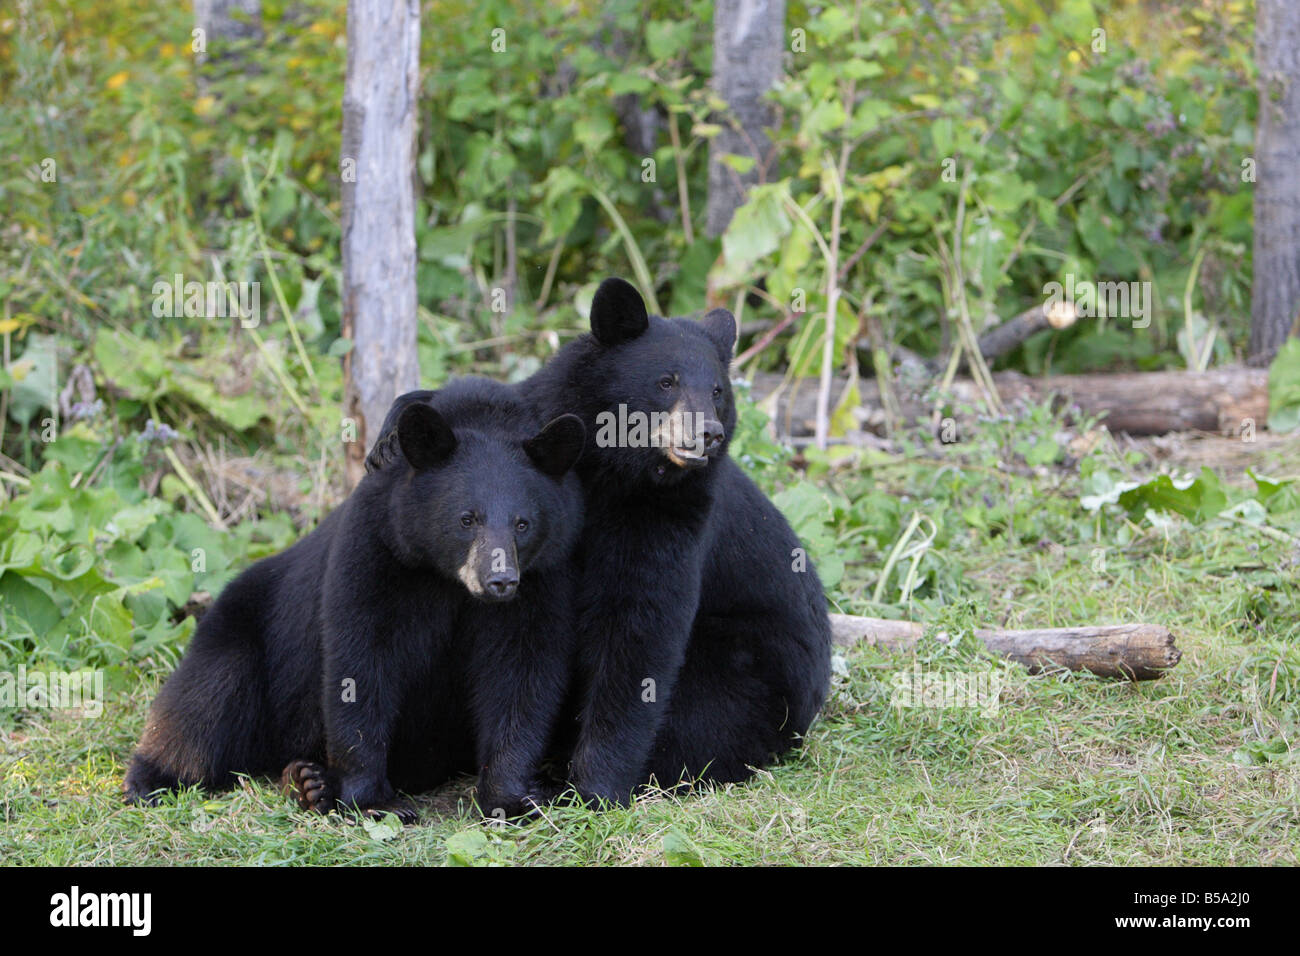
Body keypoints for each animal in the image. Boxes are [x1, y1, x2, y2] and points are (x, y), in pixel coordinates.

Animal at [123, 377, 585, 821]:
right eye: (466, 519)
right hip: (242, 629)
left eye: (523, 524)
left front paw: (511, 797)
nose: (500, 580)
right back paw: (154, 780)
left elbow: (522, 671)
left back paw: (309, 781)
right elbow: (361, 659)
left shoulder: (542, 581)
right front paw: (374, 802)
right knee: (203, 705)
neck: (447, 579)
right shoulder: (378, 548)